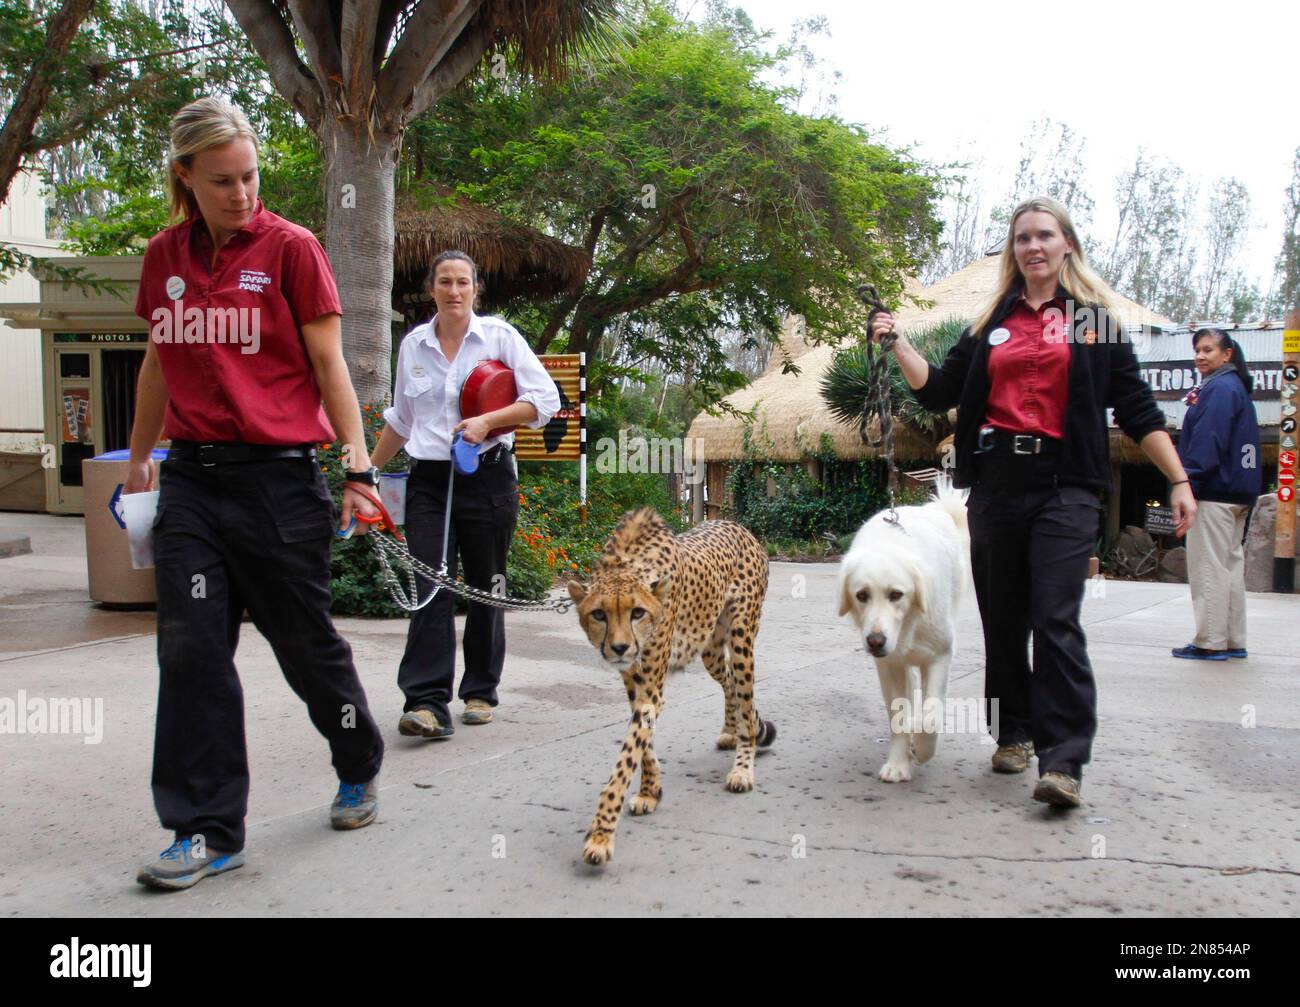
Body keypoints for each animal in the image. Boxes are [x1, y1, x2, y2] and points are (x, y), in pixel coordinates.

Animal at [566, 508, 776, 866]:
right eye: (599, 614)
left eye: (637, 612)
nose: (619, 648)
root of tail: (735, 525)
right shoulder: (635, 683)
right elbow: (642, 744)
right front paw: (650, 792)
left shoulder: (652, 686)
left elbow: (626, 758)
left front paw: (601, 835)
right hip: (710, 649)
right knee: (730, 683)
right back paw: (731, 731)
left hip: (741, 638)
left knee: (745, 694)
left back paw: (743, 766)